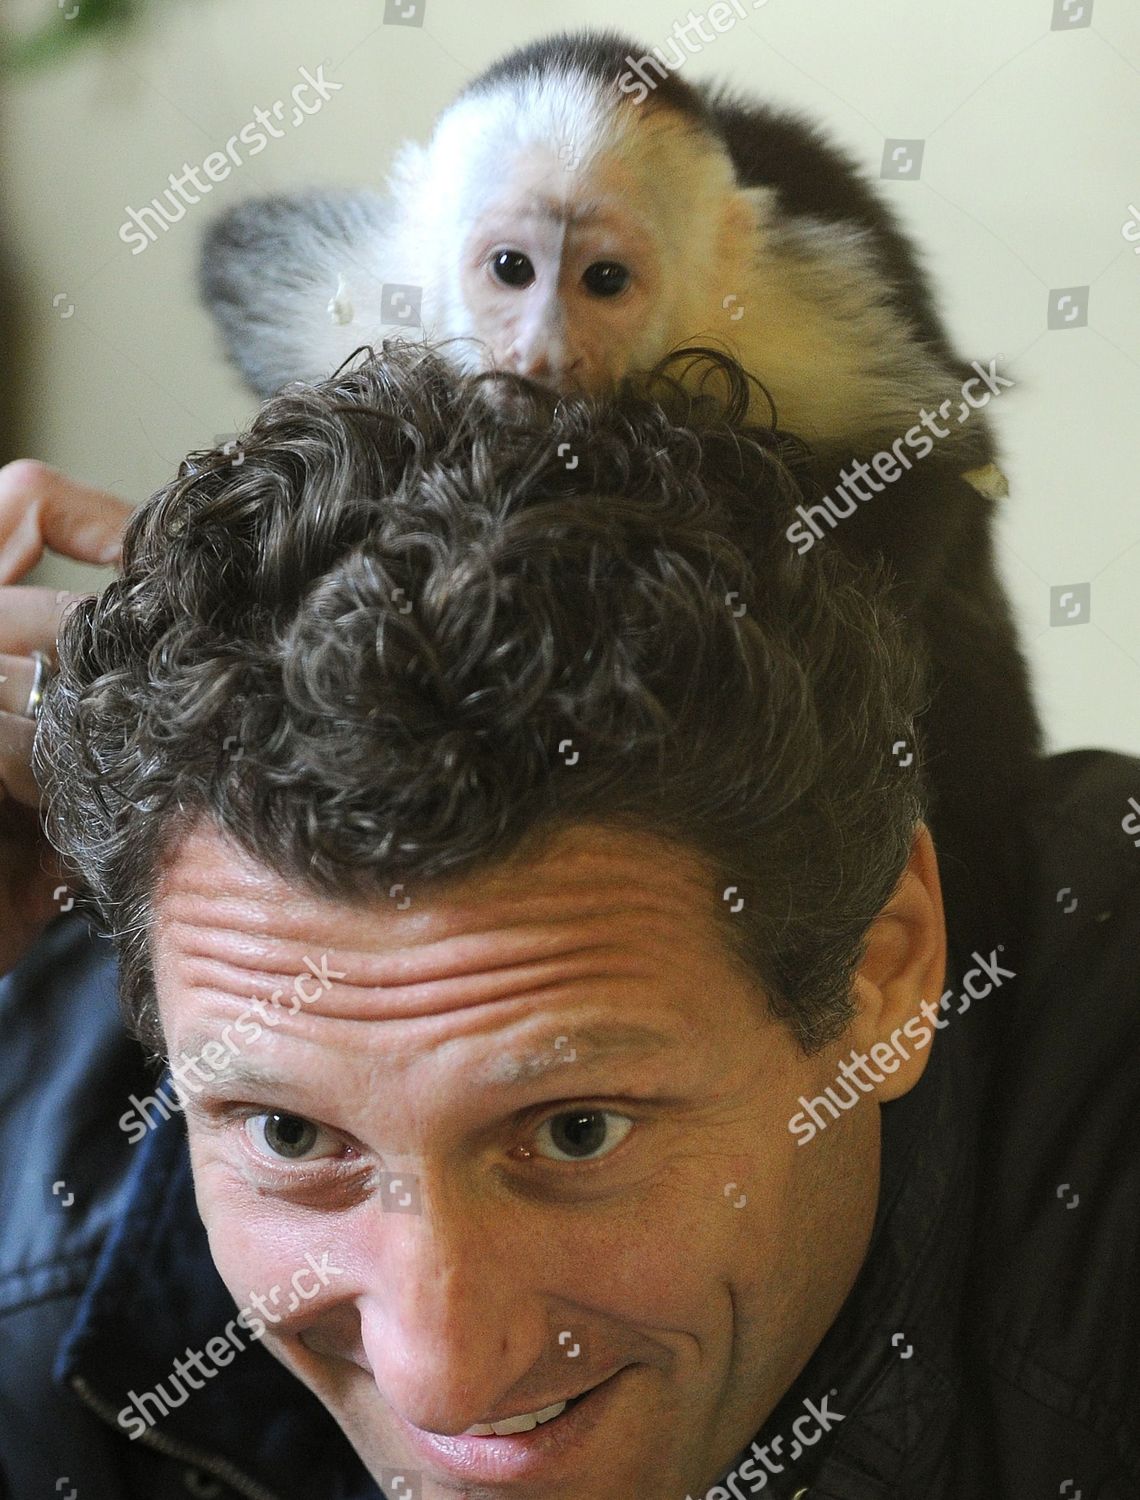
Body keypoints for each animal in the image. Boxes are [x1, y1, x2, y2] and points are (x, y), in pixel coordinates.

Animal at [198, 29, 1041, 972]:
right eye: (512, 269)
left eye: (604, 279)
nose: (543, 353)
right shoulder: (357, 292)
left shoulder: (798, 327)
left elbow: (931, 467)